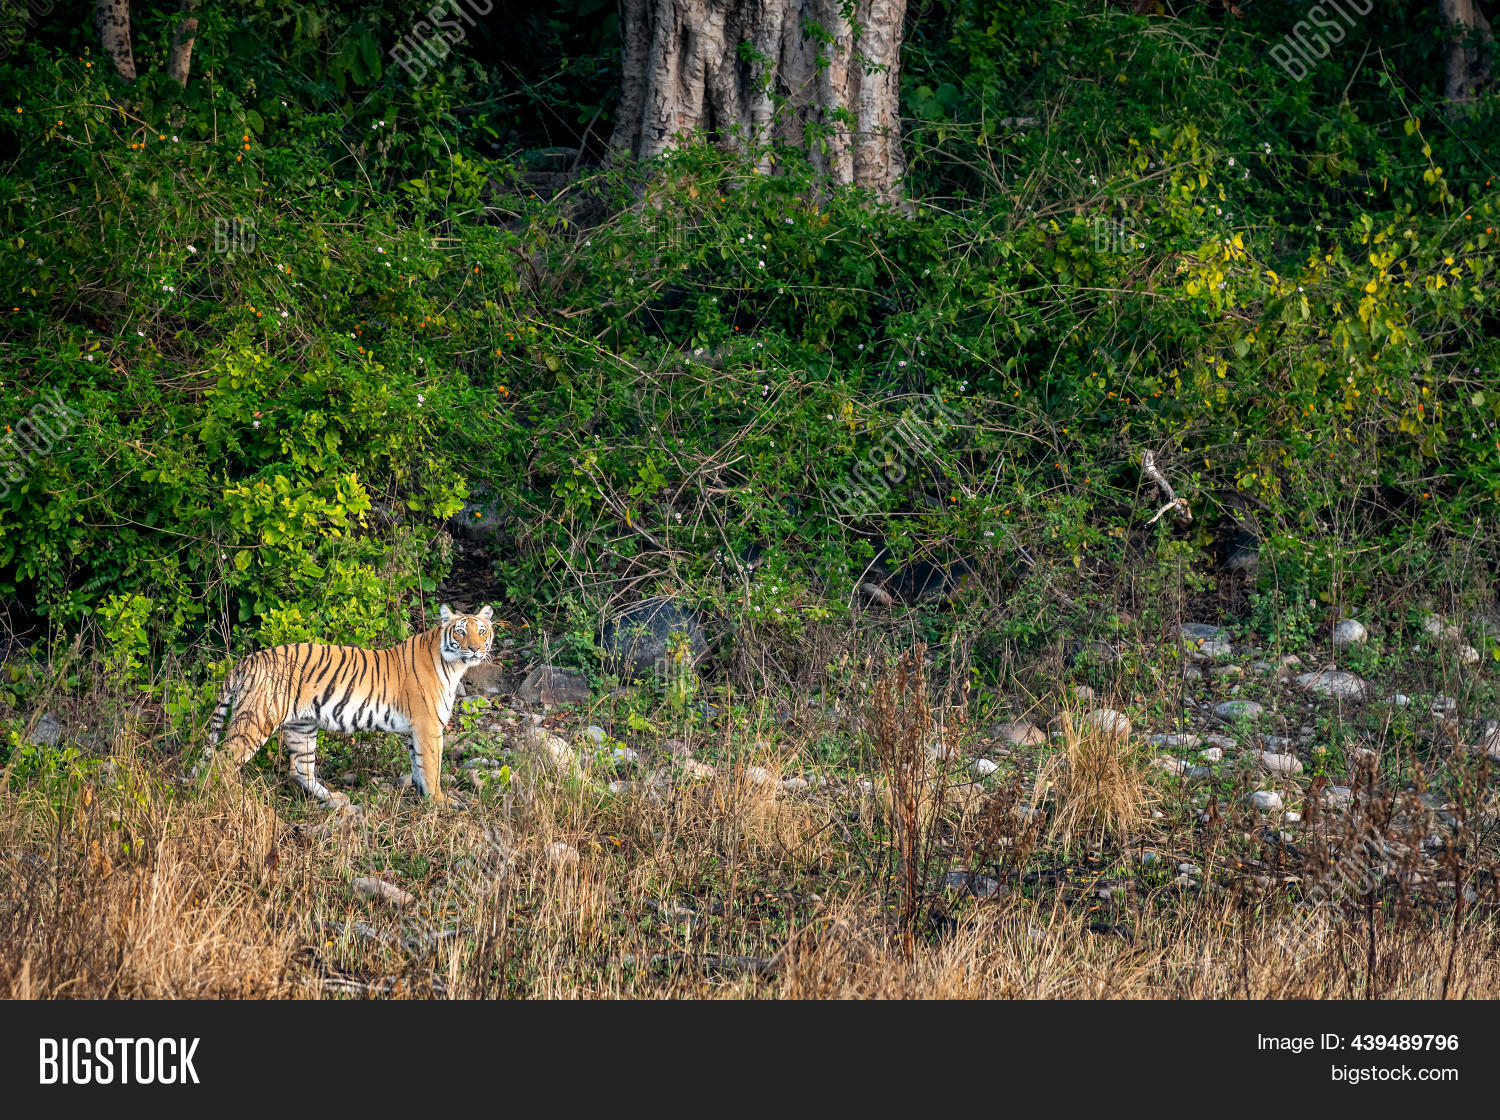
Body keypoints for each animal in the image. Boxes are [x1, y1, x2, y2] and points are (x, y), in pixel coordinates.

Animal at [198, 605, 496, 806]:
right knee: (222, 763)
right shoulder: (428, 726)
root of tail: (248, 660)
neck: (454, 666)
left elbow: (418, 767)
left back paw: (334, 799)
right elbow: (432, 767)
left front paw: (424, 800)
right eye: (461, 632)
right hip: (256, 720)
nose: (475, 649)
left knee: (300, 770)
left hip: (302, 727)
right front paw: (438, 803)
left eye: (482, 631)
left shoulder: (416, 730)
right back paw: (227, 800)